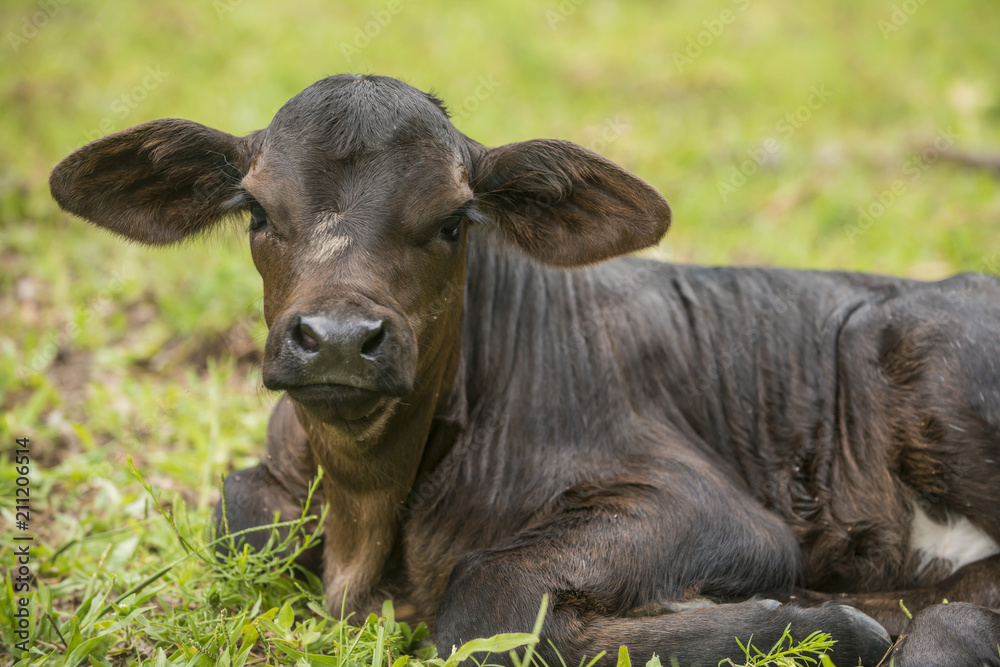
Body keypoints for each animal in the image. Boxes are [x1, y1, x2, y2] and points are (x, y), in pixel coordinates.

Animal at [50, 74, 1000, 667]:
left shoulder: (712, 506)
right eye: (254, 211)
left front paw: (809, 622)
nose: (339, 337)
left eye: (453, 221)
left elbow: (489, 596)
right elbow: (240, 514)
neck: (371, 522)